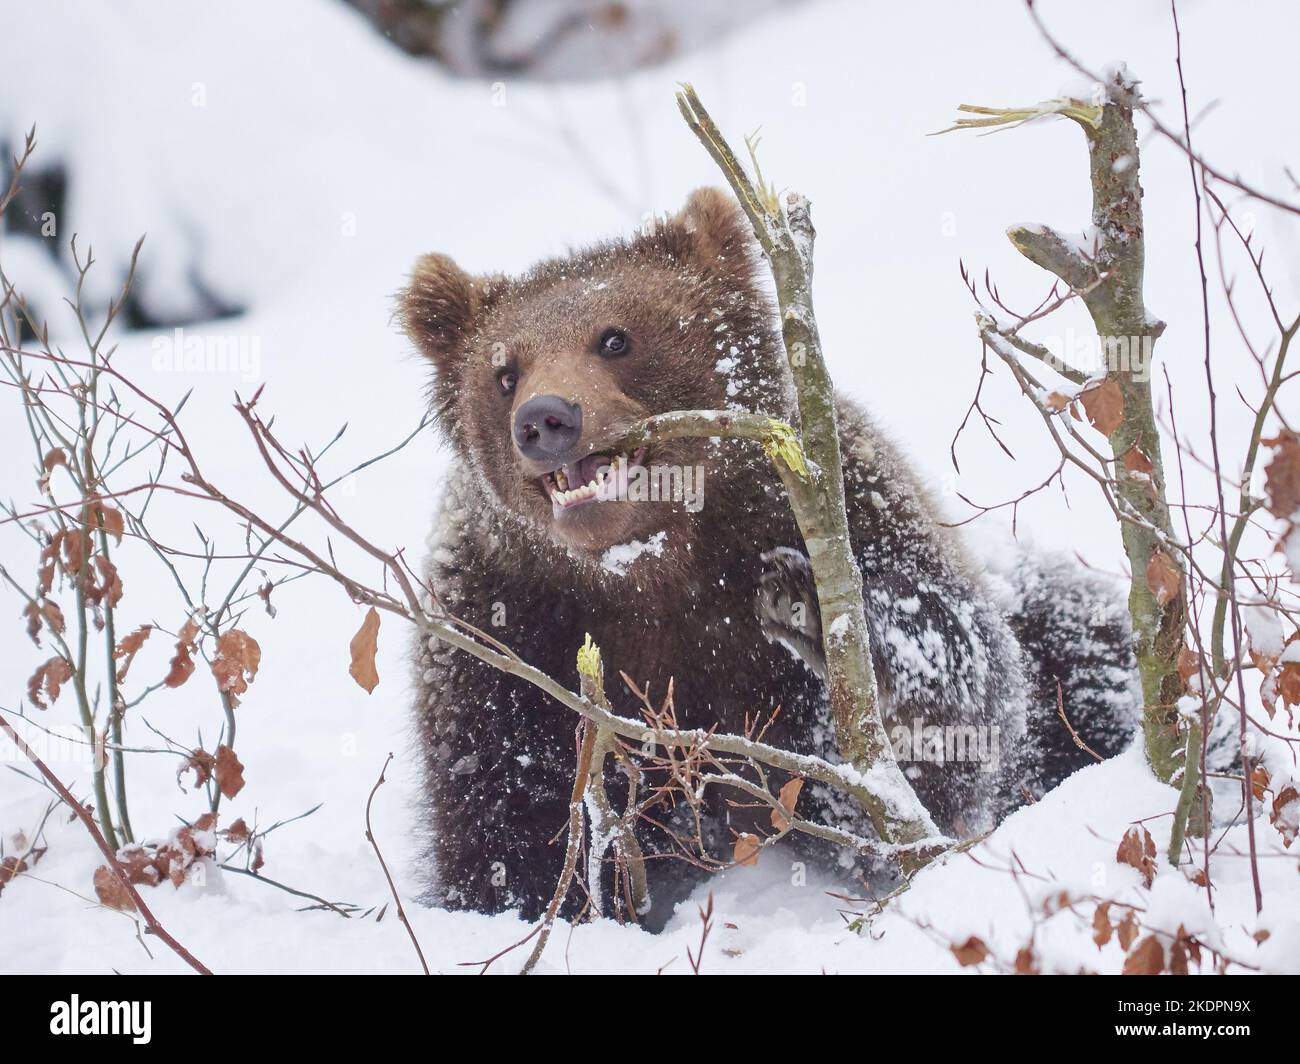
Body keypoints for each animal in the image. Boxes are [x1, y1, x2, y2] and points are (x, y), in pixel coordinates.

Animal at [399, 187, 1138, 931]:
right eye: (504, 372)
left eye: (614, 338)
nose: (546, 418)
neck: (651, 570)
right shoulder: (501, 634)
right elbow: (507, 810)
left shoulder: (846, 510)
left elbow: (940, 736)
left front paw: (815, 614)